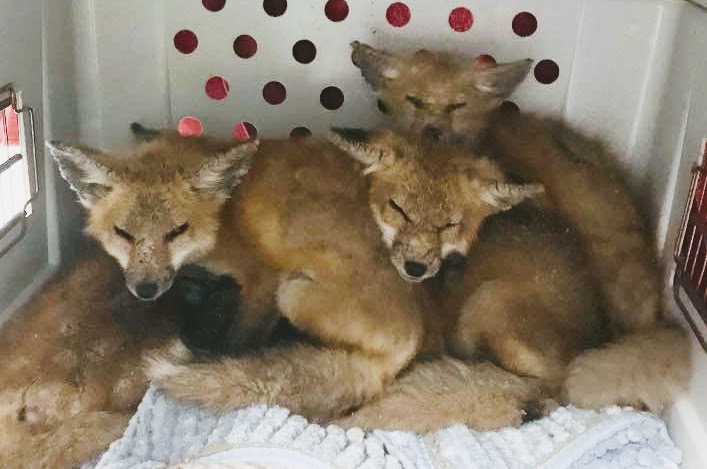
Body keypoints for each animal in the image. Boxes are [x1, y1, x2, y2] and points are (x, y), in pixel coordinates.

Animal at [50, 127, 552, 430]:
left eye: (176, 231)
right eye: (123, 234)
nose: (146, 290)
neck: (225, 211)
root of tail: (409, 348)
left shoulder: (262, 280)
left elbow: (242, 338)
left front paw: (223, 358)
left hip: (294, 291)